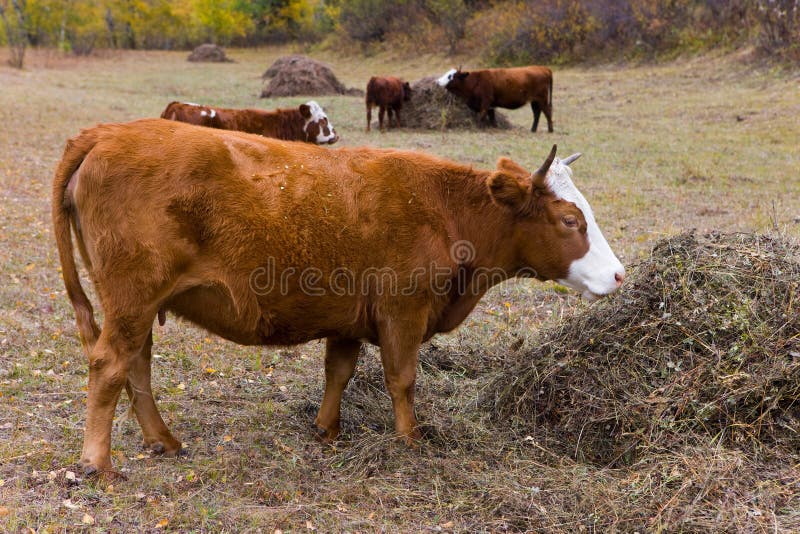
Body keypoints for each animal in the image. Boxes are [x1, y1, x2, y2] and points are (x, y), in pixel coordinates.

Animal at [53, 118, 624, 479]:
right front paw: (410, 440)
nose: (619, 275)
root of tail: (105, 133)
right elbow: (402, 379)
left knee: (137, 365)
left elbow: (339, 371)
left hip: (137, 306)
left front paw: (327, 430)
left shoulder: (350, 318)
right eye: (569, 221)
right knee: (110, 363)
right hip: (132, 299)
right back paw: (97, 463)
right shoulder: (402, 312)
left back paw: (161, 440)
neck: (443, 211)